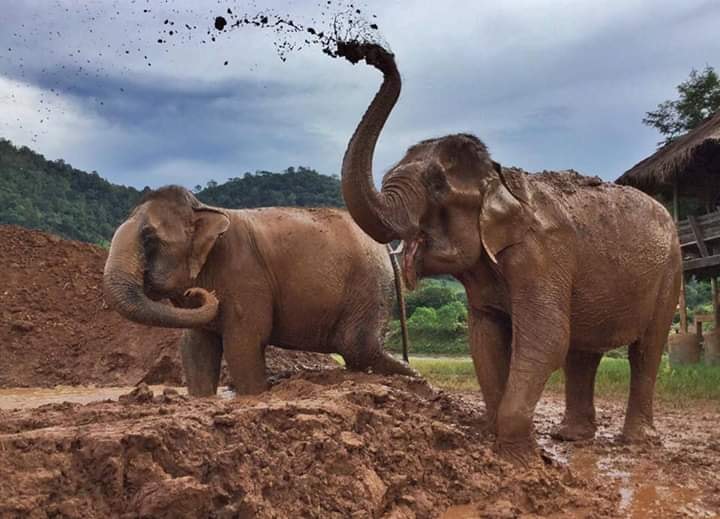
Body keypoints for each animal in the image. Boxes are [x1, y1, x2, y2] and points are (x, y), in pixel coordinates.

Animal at [103, 185, 416, 396]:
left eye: (149, 238)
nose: (198, 294)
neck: (204, 208)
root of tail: (388, 247)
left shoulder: (245, 276)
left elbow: (243, 342)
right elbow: (196, 347)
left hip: (370, 288)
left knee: (358, 347)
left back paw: (413, 378)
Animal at [335, 42, 681, 461]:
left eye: (436, 186)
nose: (372, 52)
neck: (498, 177)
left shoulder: (543, 253)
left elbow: (546, 337)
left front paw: (520, 455)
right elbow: (484, 338)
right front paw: (494, 440)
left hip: (671, 271)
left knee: (646, 348)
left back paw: (636, 441)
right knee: (582, 350)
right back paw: (571, 437)